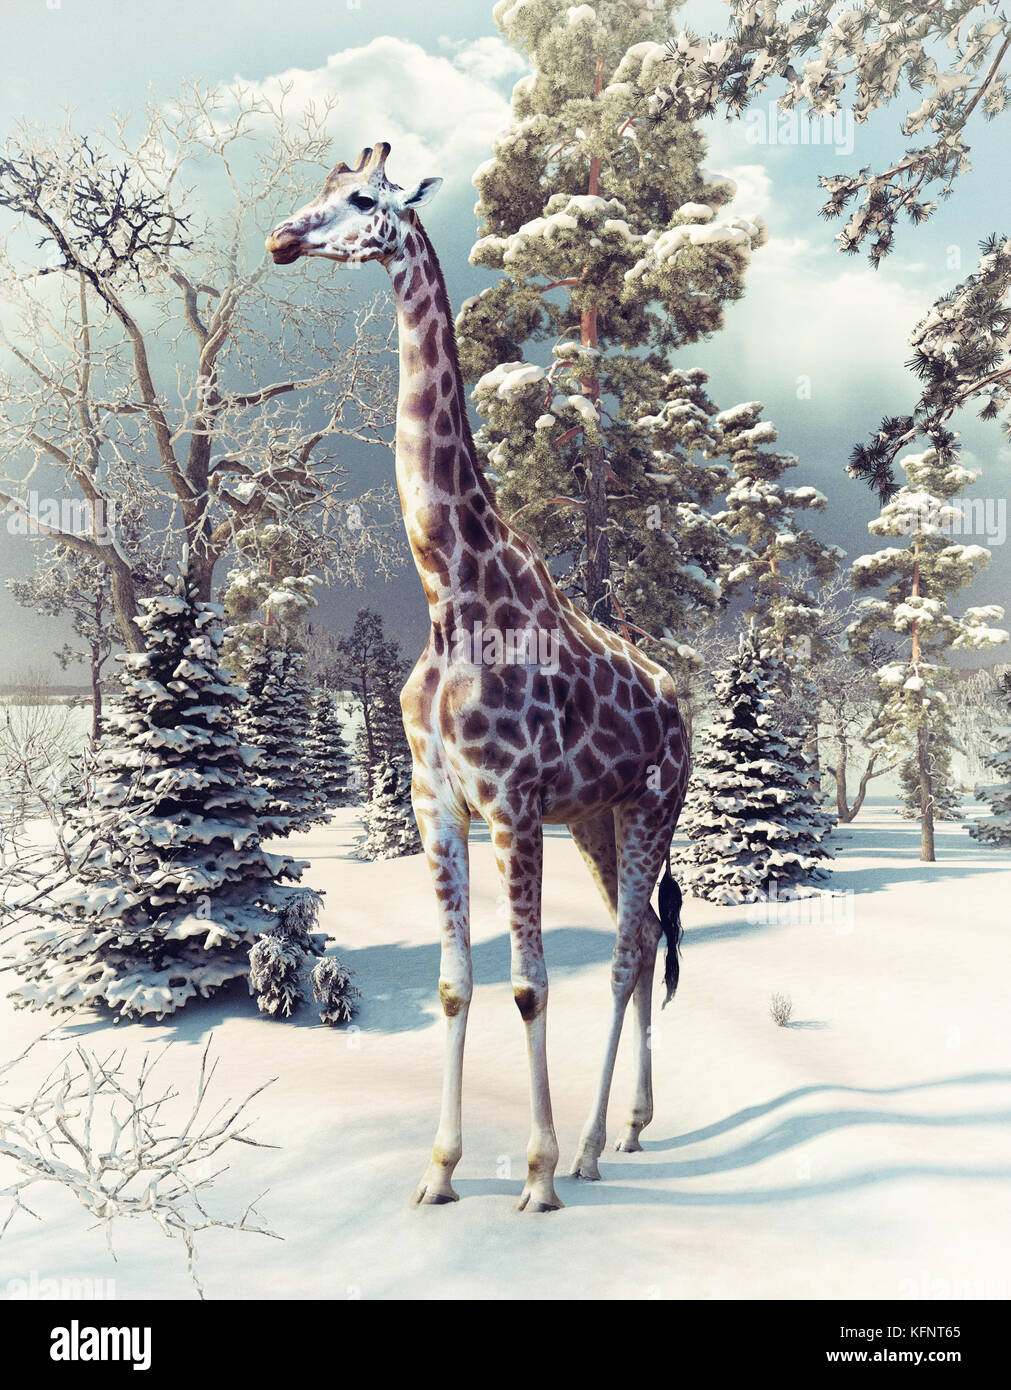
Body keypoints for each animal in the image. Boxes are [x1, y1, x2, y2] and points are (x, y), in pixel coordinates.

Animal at [267, 143, 691, 1212]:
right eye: (318, 190)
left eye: (361, 198)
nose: (283, 238)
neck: (448, 594)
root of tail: (679, 702)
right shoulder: (436, 801)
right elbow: (458, 982)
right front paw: (439, 1172)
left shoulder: (510, 800)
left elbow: (531, 984)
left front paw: (533, 1178)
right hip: (600, 816)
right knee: (641, 943)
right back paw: (629, 1128)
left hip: (653, 804)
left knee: (626, 952)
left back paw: (586, 1148)